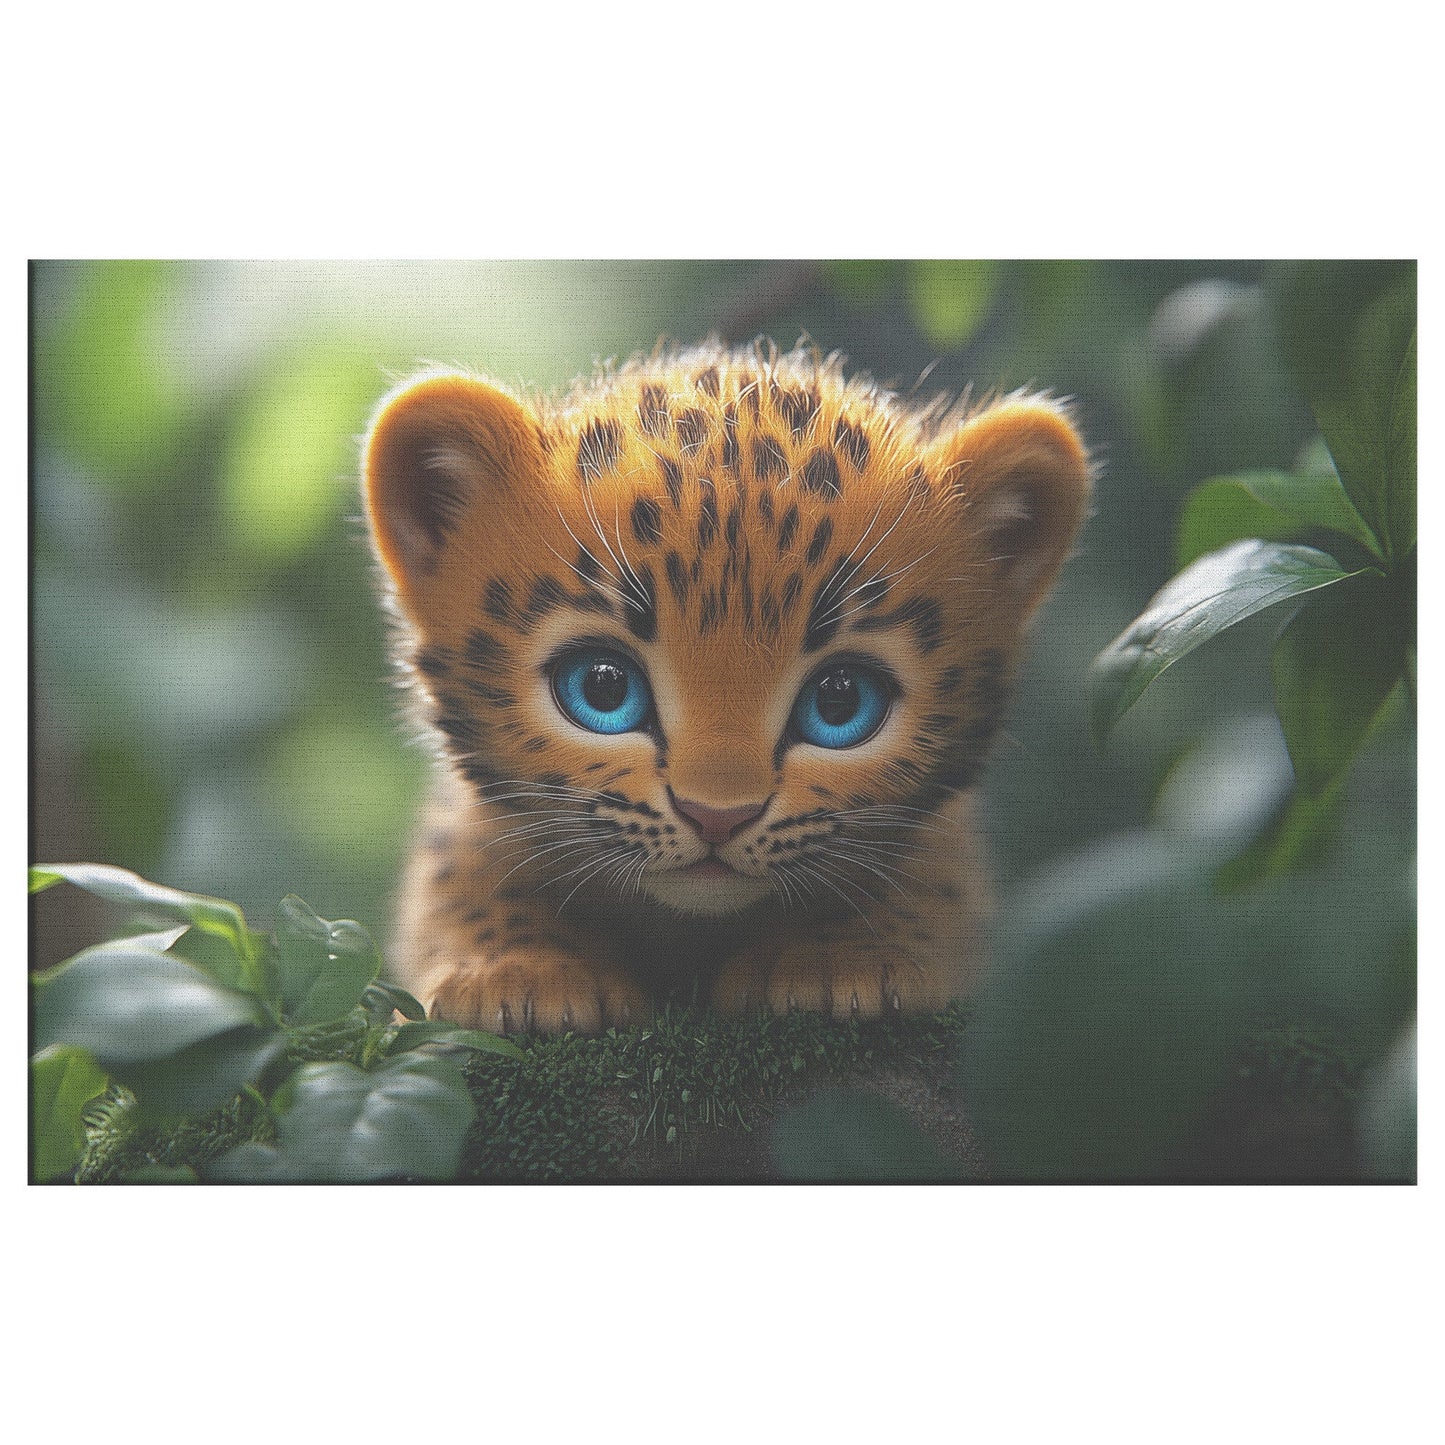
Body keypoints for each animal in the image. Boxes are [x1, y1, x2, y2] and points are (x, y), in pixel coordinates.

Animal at [361, 340, 1091, 1033]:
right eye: (602, 689)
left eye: (840, 702)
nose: (717, 815)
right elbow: (467, 884)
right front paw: (518, 971)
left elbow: (925, 889)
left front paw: (839, 959)